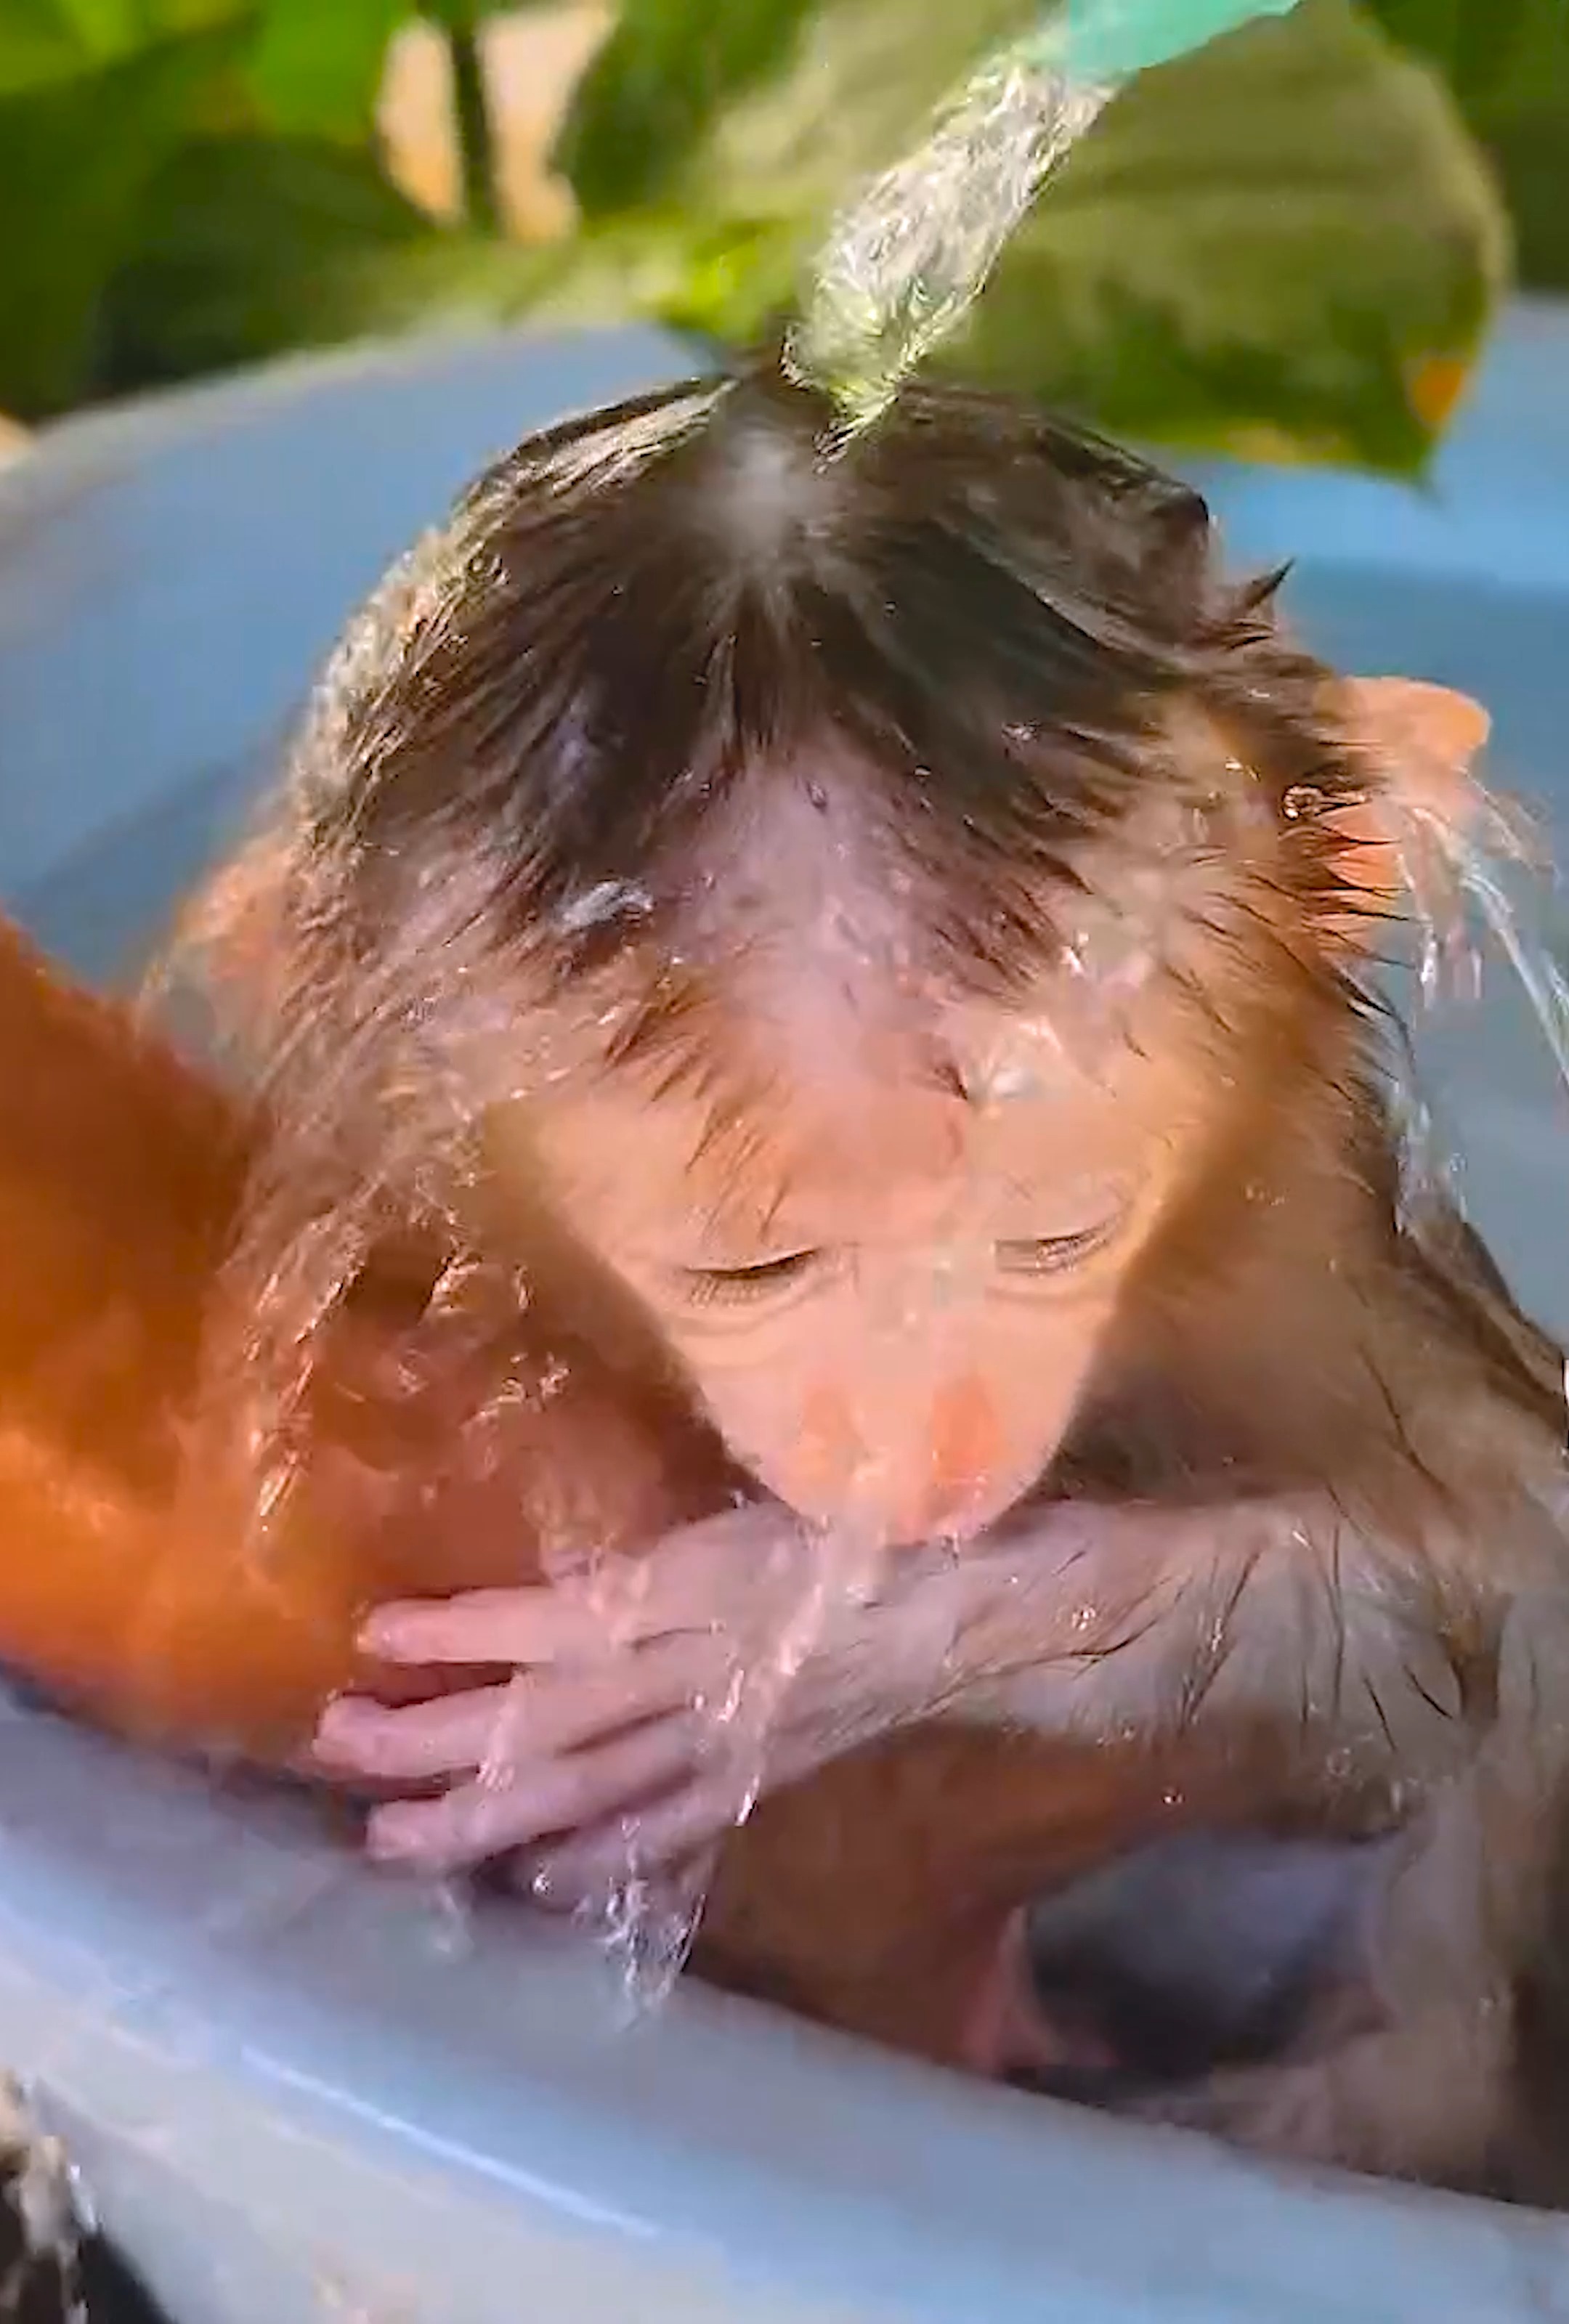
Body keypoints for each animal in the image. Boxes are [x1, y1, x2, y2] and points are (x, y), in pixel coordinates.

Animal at [6, 354, 1569, 2200]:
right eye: (752, 1267)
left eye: (1058, 1235)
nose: (930, 1443)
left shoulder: (1300, 1271)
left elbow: (1511, 1559)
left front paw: (798, 1646)